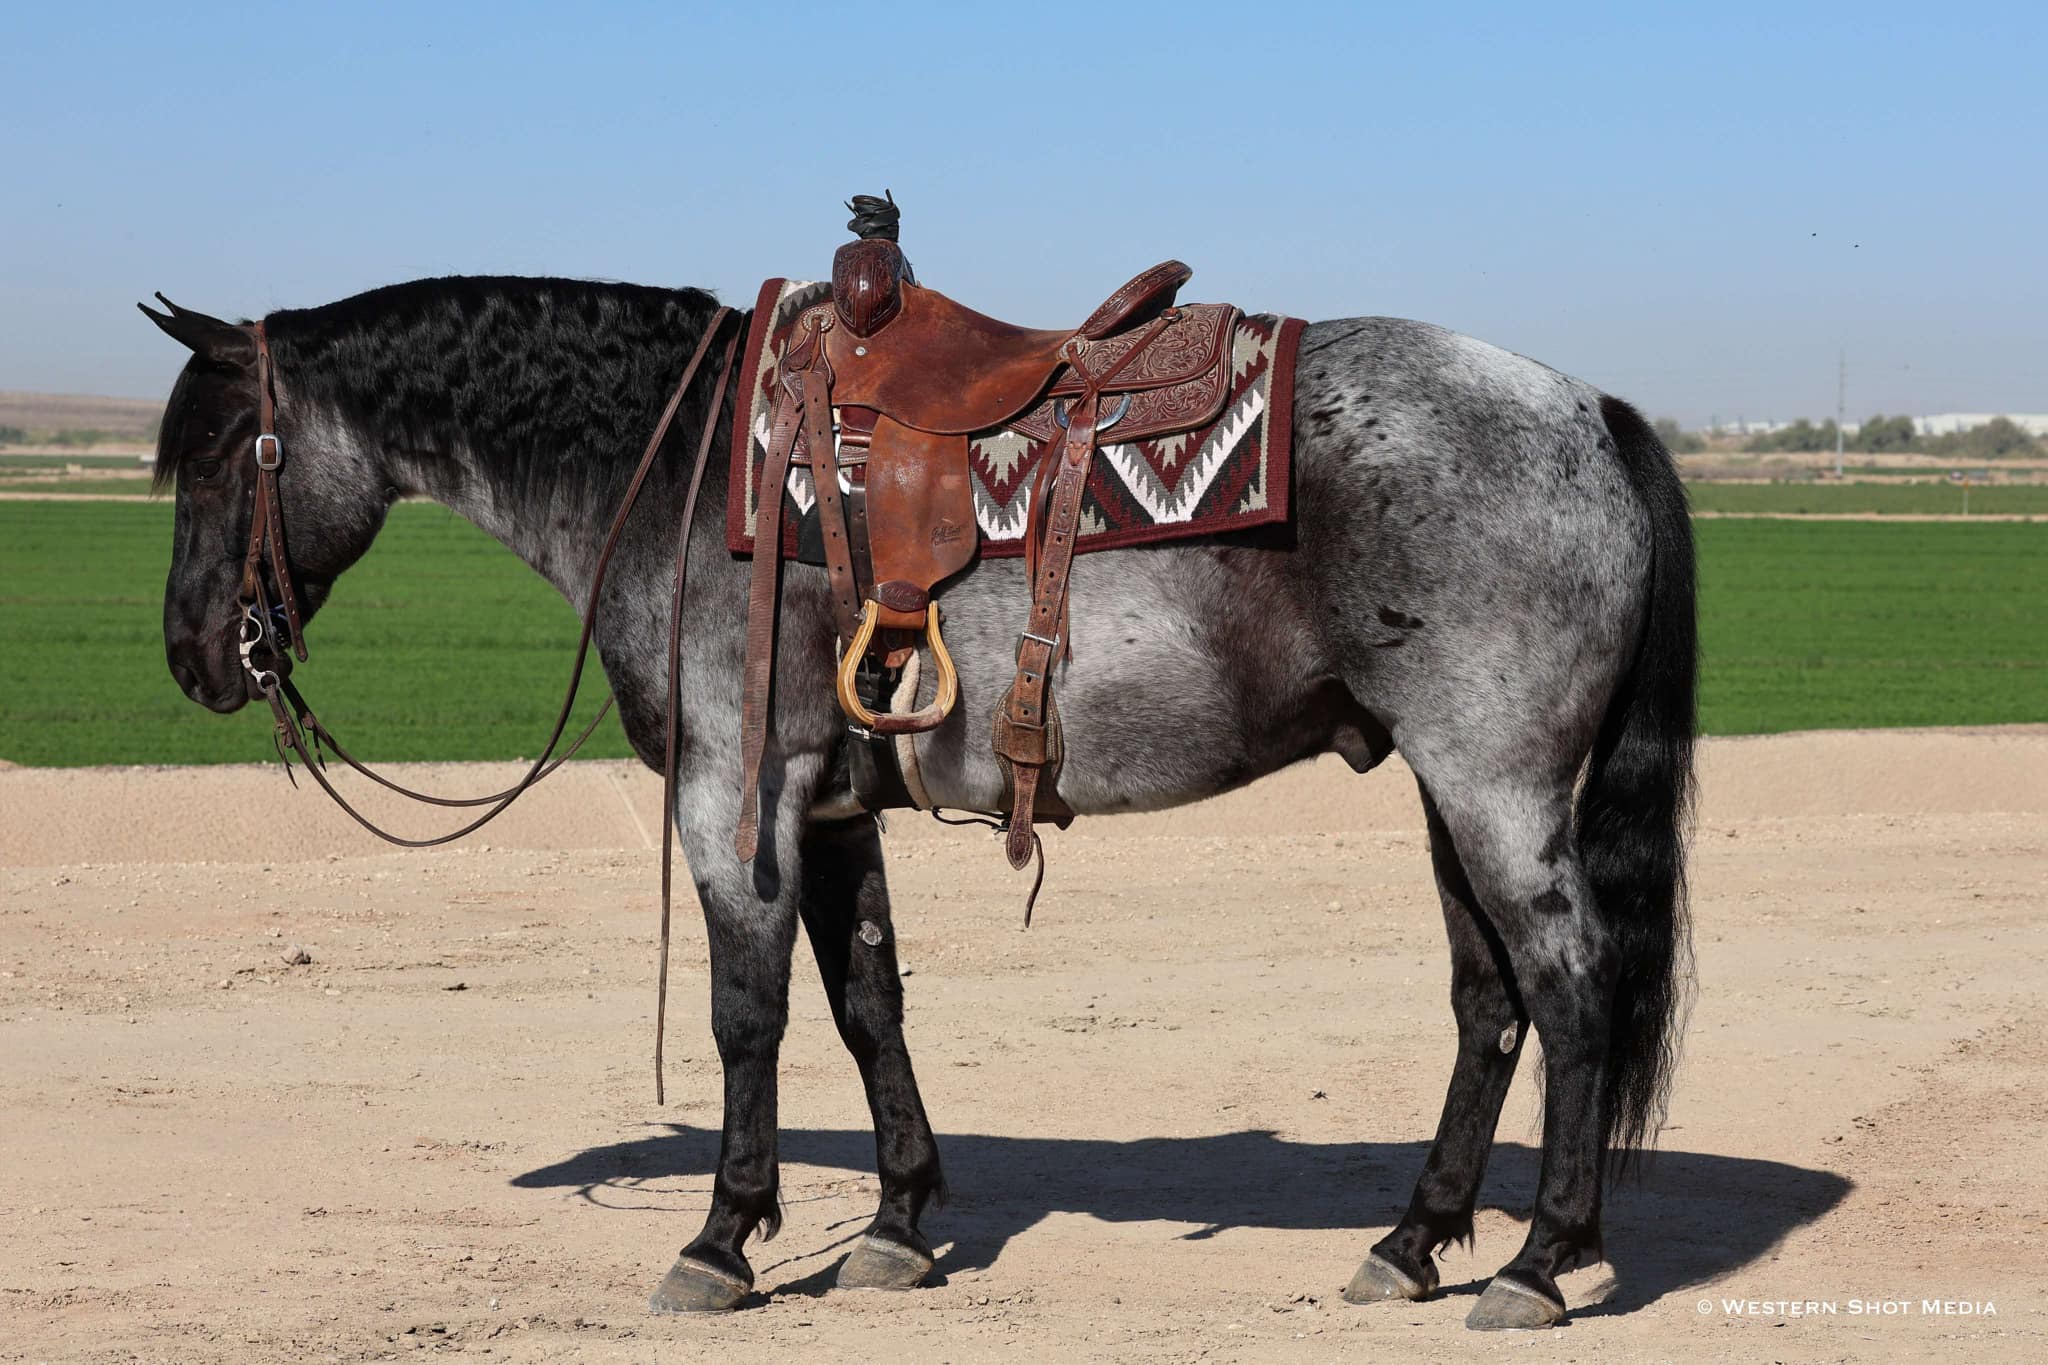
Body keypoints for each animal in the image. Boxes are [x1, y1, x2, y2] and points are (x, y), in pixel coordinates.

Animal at [141, 273, 1695, 1330]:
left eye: (217, 455)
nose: (197, 656)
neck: (684, 465)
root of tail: (1593, 411)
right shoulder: (831, 809)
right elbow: (866, 1002)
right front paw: (895, 1221)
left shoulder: (738, 794)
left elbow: (748, 1016)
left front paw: (721, 1236)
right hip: (1447, 789)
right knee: (1488, 1003)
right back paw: (1413, 1242)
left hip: (1494, 786)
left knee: (1569, 987)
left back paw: (1541, 1262)